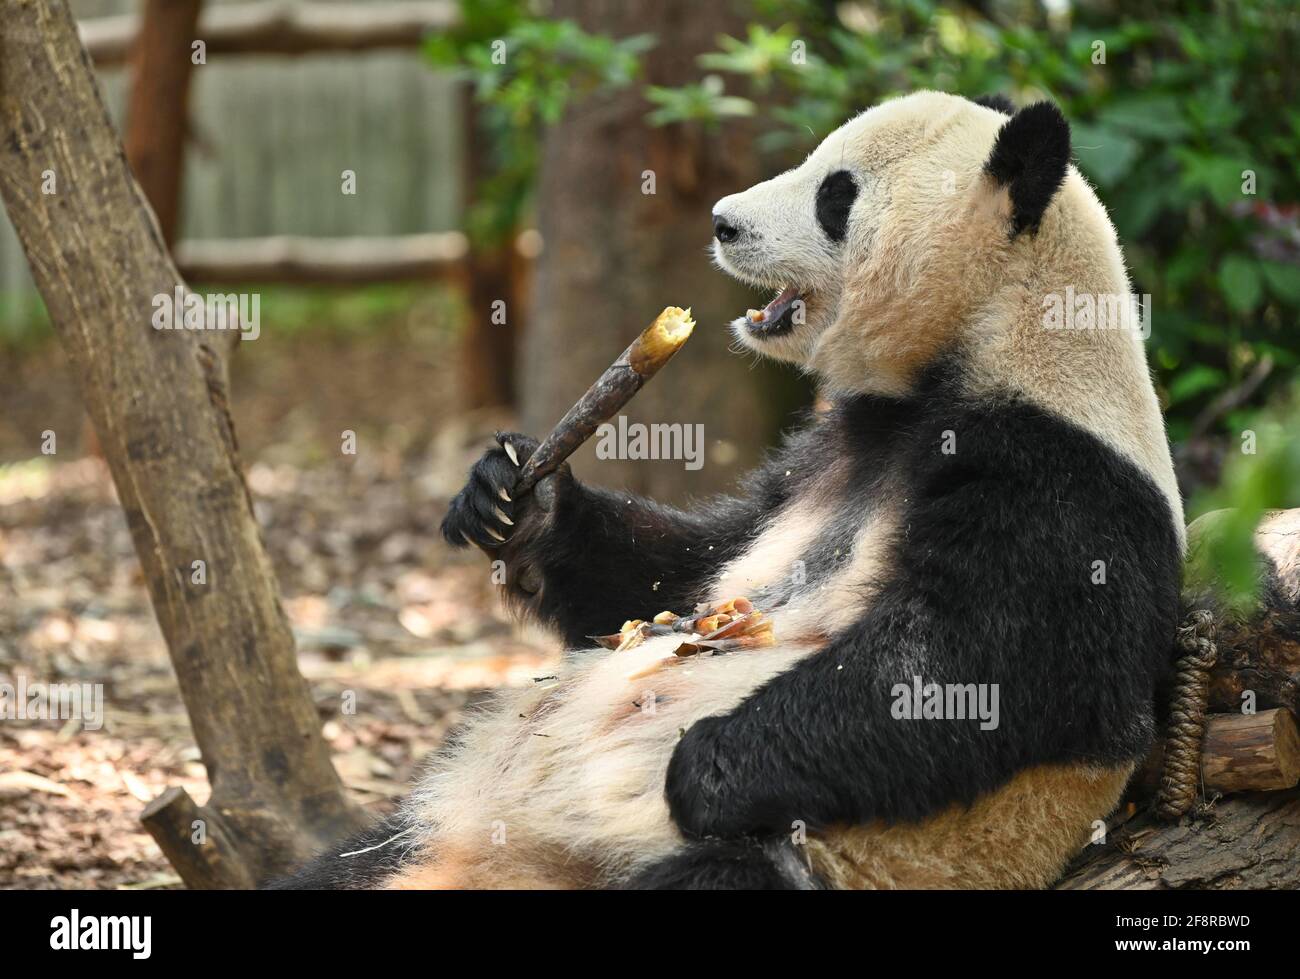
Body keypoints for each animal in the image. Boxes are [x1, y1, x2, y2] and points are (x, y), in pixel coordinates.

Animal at [274, 91, 1184, 890]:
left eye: (835, 195)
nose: (723, 221)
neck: (988, 338)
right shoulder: (829, 448)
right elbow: (685, 570)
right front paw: (517, 500)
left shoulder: (1063, 481)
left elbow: (970, 671)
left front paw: (699, 764)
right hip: (427, 827)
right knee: (346, 865)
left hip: (802, 864)